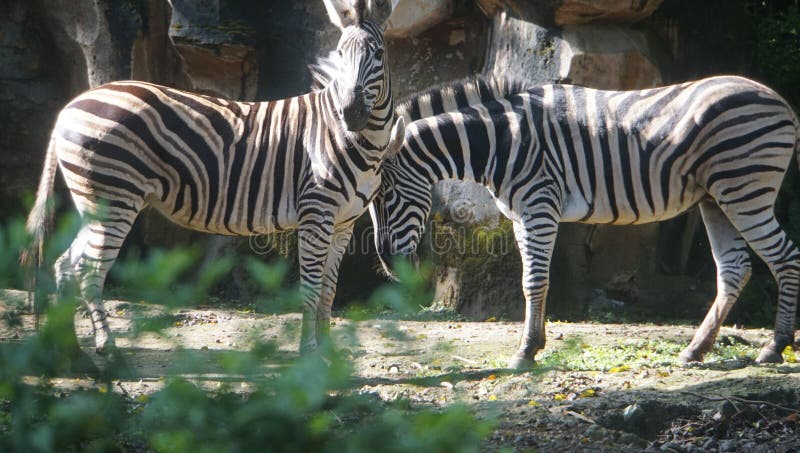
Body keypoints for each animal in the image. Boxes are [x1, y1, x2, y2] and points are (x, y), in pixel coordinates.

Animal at [22, 0, 405, 357]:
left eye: (379, 53)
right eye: (340, 54)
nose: (351, 114)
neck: (356, 142)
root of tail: (70, 108)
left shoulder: (343, 223)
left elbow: (329, 288)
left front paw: (327, 351)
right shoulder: (316, 213)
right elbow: (311, 288)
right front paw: (309, 352)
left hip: (95, 204)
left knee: (65, 265)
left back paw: (70, 349)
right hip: (113, 199)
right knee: (88, 270)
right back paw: (106, 345)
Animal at [369, 75, 800, 369]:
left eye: (385, 196)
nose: (388, 265)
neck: (500, 142)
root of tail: (782, 103)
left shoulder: (539, 206)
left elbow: (534, 281)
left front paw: (525, 351)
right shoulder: (521, 216)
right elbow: (530, 282)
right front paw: (535, 343)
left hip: (744, 189)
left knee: (785, 258)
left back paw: (774, 347)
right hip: (717, 198)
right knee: (735, 268)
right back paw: (696, 349)